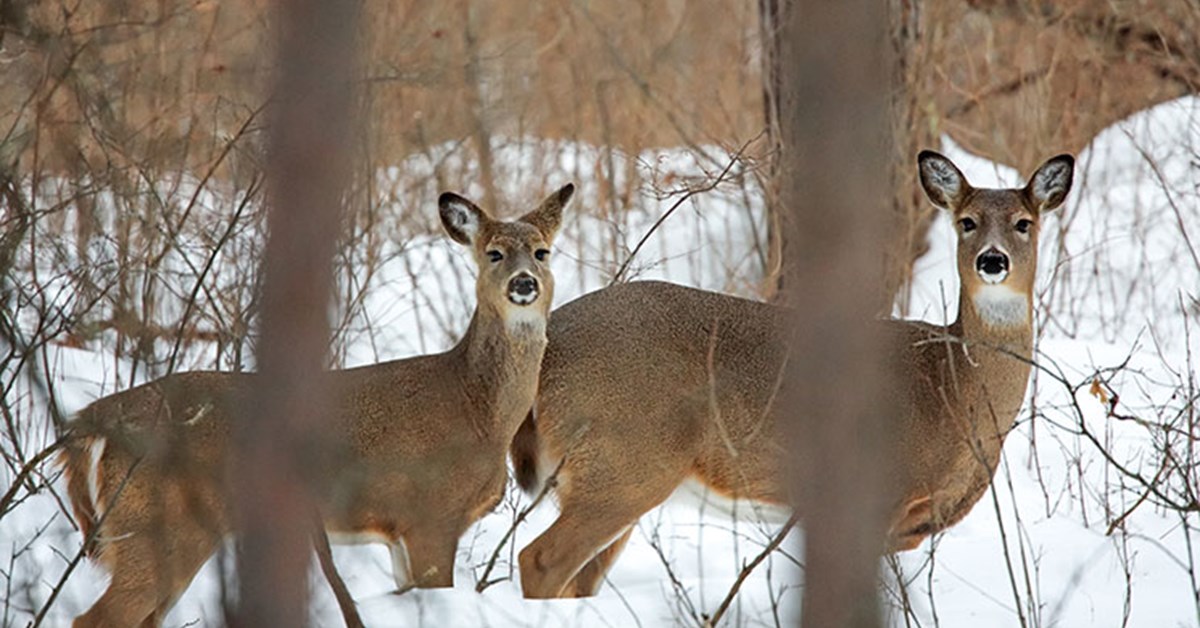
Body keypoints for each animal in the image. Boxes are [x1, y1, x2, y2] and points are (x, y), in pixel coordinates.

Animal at [58, 183, 574, 626]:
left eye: (542, 252)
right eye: (494, 253)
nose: (524, 283)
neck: (478, 409)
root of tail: (96, 419)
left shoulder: (399, 533)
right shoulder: (430, 514)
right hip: (159, 528)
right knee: (94, 618)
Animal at [510, 151, 1073, 598]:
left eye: (1024, 222)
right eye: (967, 221)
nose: (993, 261)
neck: (951, 389)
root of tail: (547, 349)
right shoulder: (877, 498)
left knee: (577, 580)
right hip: (626, 458)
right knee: (539, 560)